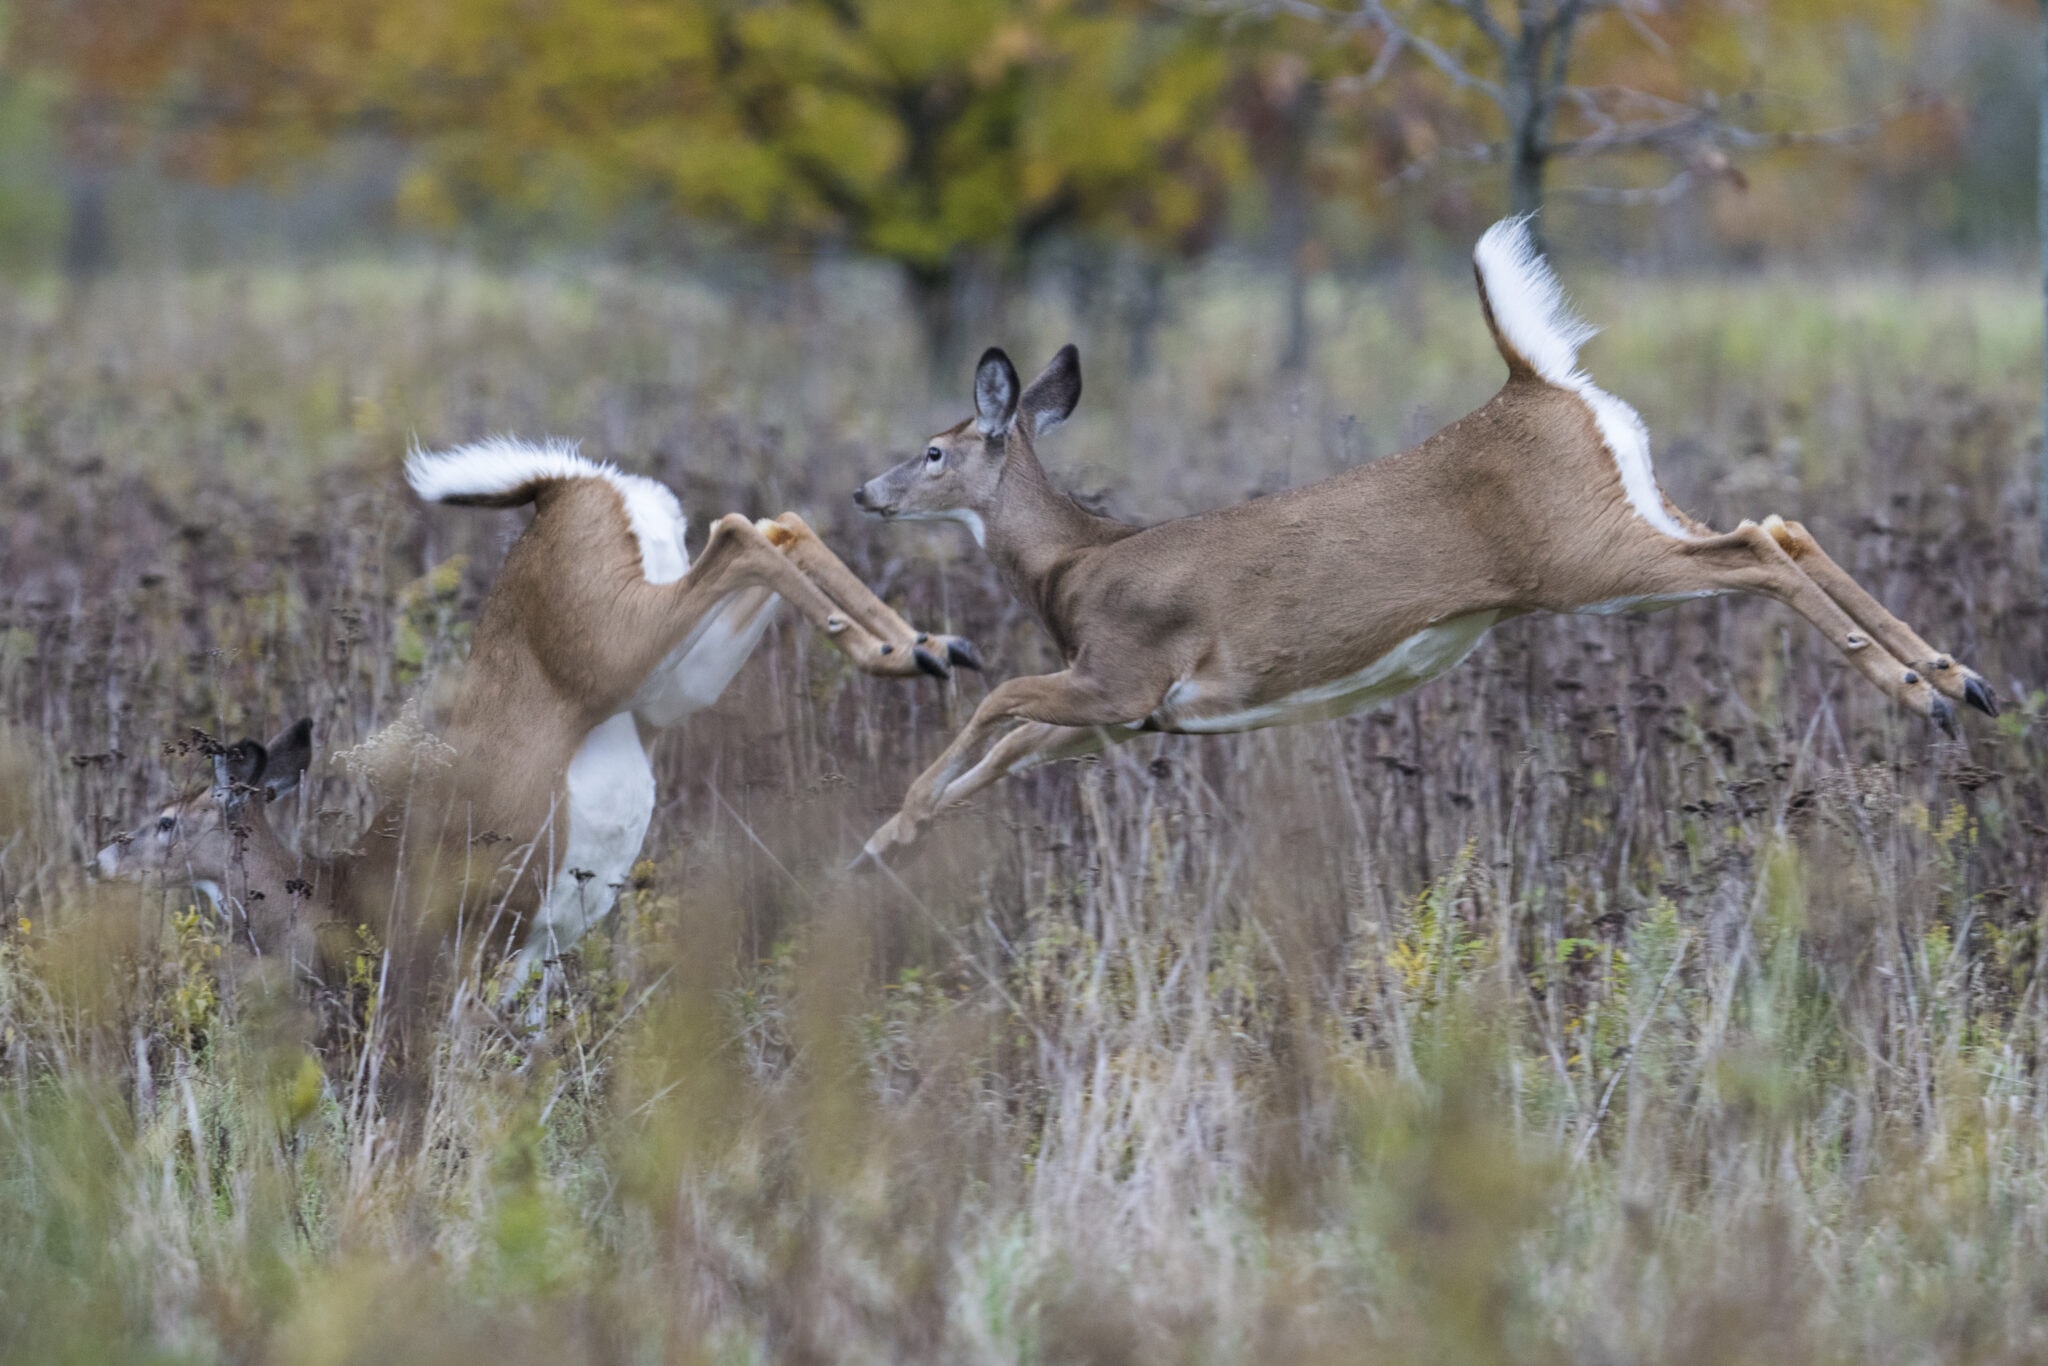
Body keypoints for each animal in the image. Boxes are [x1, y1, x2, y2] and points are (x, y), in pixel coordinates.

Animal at [97, 438, 979, 995]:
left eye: (169, 817)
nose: (104, 855)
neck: (328, 892)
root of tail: (561, 489)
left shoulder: (451, 960)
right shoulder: (536, 950)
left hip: (618, 643)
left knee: (740, 530)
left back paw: (912, 653)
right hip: (672, 679)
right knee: (781, 523)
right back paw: (935, 646)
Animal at [850, 217, 1996, 863]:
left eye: (933, 450)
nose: (864, 490)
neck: (1072, 565)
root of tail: (1532, 383)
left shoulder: (1125, 674)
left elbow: (996, 701)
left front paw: (892, 820)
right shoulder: (1128, 713)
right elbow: (1010, 746)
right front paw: (888, 841)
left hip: (1586, 556)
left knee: (1757, 548)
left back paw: (1923, 691)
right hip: (1630, 521)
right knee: (1779, 526)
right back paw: (1960, 679)